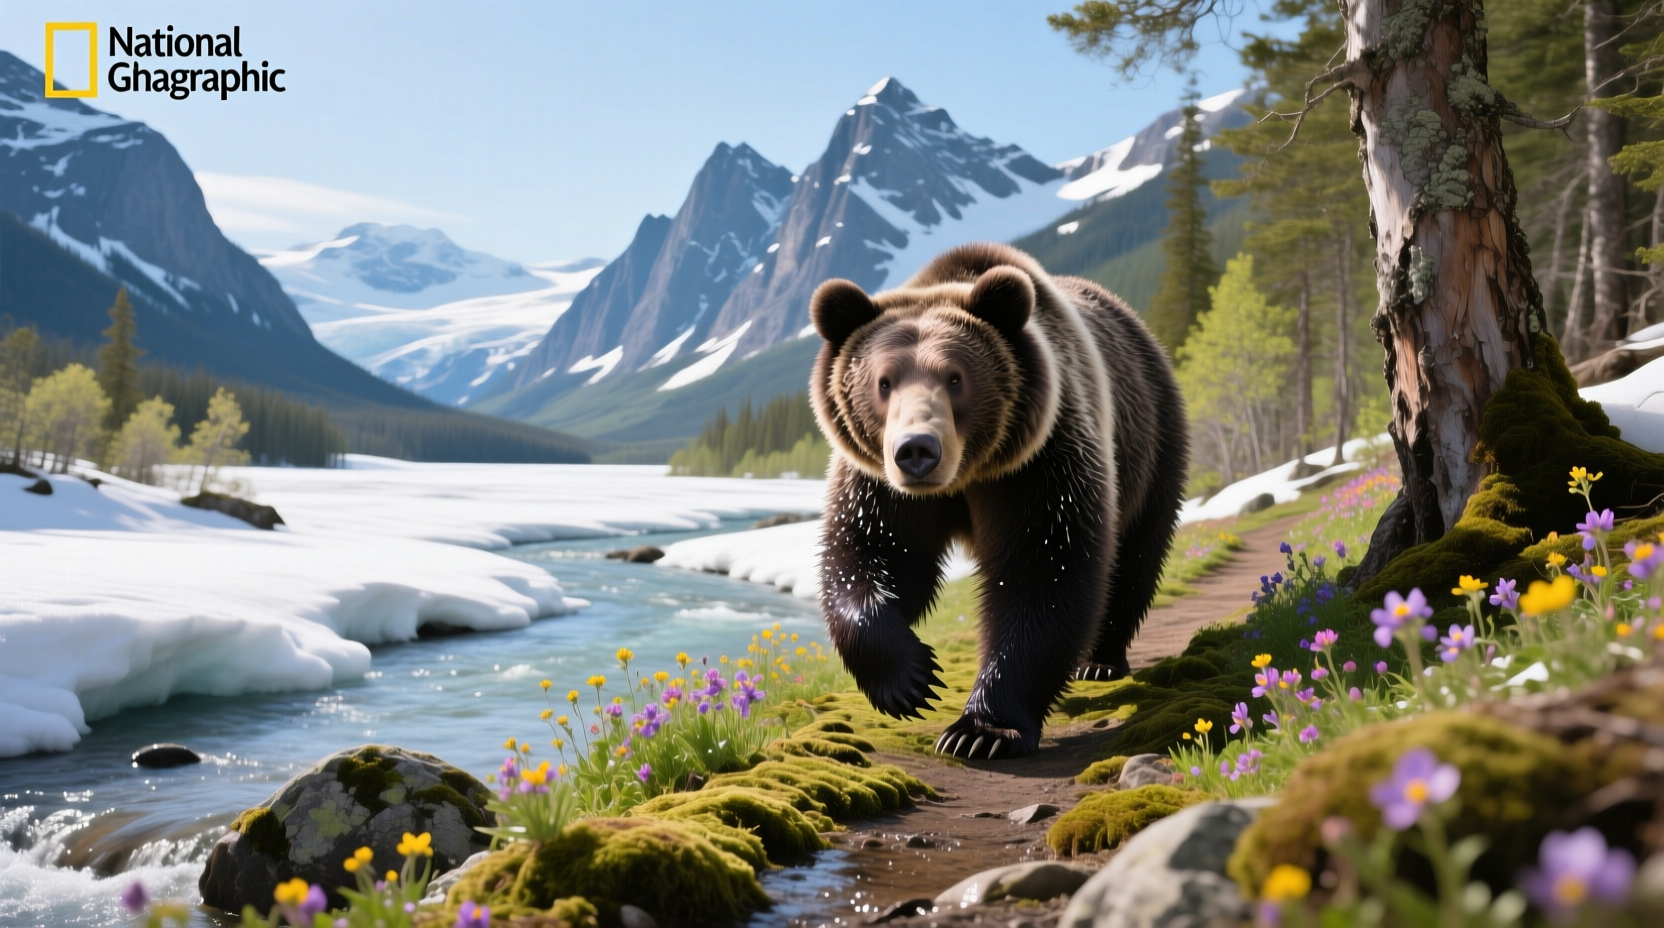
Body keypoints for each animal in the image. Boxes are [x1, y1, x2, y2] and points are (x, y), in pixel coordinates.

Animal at [808, 242, 1188, 759]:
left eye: (955, 378)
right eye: (884, 382)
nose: (917, 450)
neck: (965, 475)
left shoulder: (1039, 465)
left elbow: (1043, 572)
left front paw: (980, 731)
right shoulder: (882, 484)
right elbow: (871, 551)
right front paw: (911, 681)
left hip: (1151, 441)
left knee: (1135, 556)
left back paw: (1100, 661)